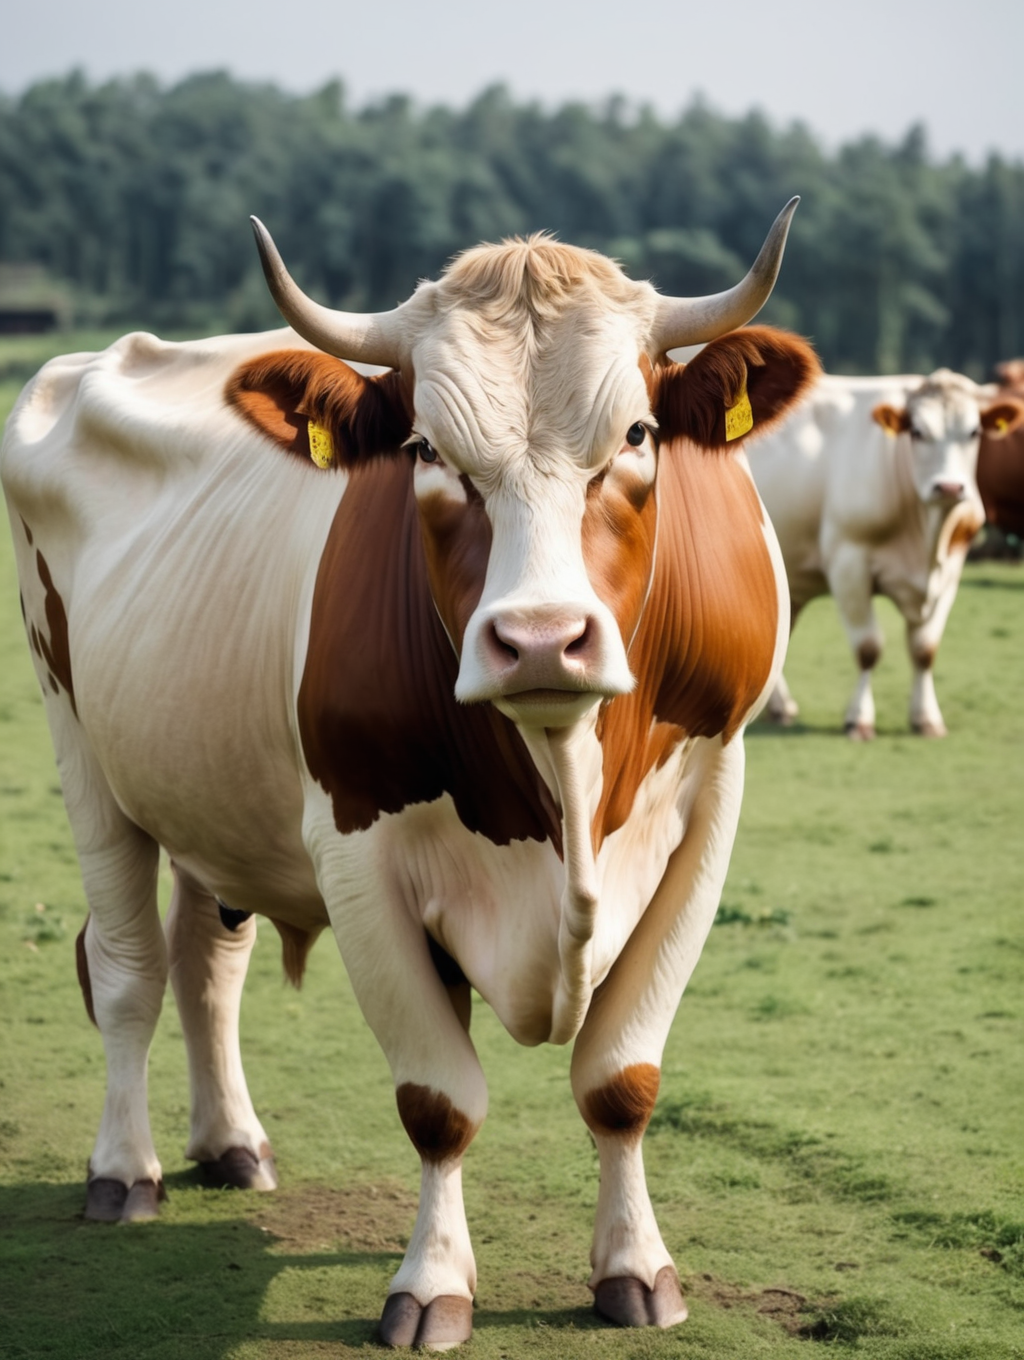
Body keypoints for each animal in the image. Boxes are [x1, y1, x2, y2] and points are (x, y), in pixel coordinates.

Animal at [1, 204, 819, 1349]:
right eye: (427, 449)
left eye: (637, 436)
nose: (539, 640)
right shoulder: (355, 846)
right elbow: (439, 1099)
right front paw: (431, 1284)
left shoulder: (710, 811)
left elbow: (621, 1077)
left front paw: (635, 1269)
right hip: (77, 738)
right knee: (126, 971)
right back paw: (127, 1170)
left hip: (213, 795)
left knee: (207, 966)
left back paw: (232, 1143)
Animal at [749, 369, 1024, 739]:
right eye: (917, 432)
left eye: (974, 432)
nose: (950, 487)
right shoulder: (849, 564)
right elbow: (868, 648)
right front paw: (860, 719)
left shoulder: (951, 572)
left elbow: (924, 650)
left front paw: (927, 719)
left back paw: (779, 707)